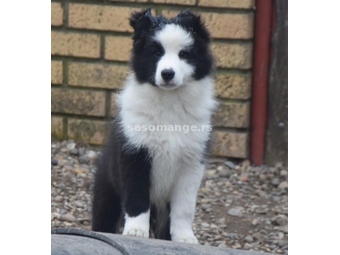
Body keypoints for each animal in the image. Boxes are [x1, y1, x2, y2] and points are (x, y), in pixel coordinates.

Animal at [91, 8, 215, 244]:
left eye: (183, 54)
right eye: (156, 53)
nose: (167, 74)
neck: (169, 103)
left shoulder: (192, 162)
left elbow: (184, 206)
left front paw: (185, 237)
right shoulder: (135, 155)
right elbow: (137, 196)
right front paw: (135, 231)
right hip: (107, 195)